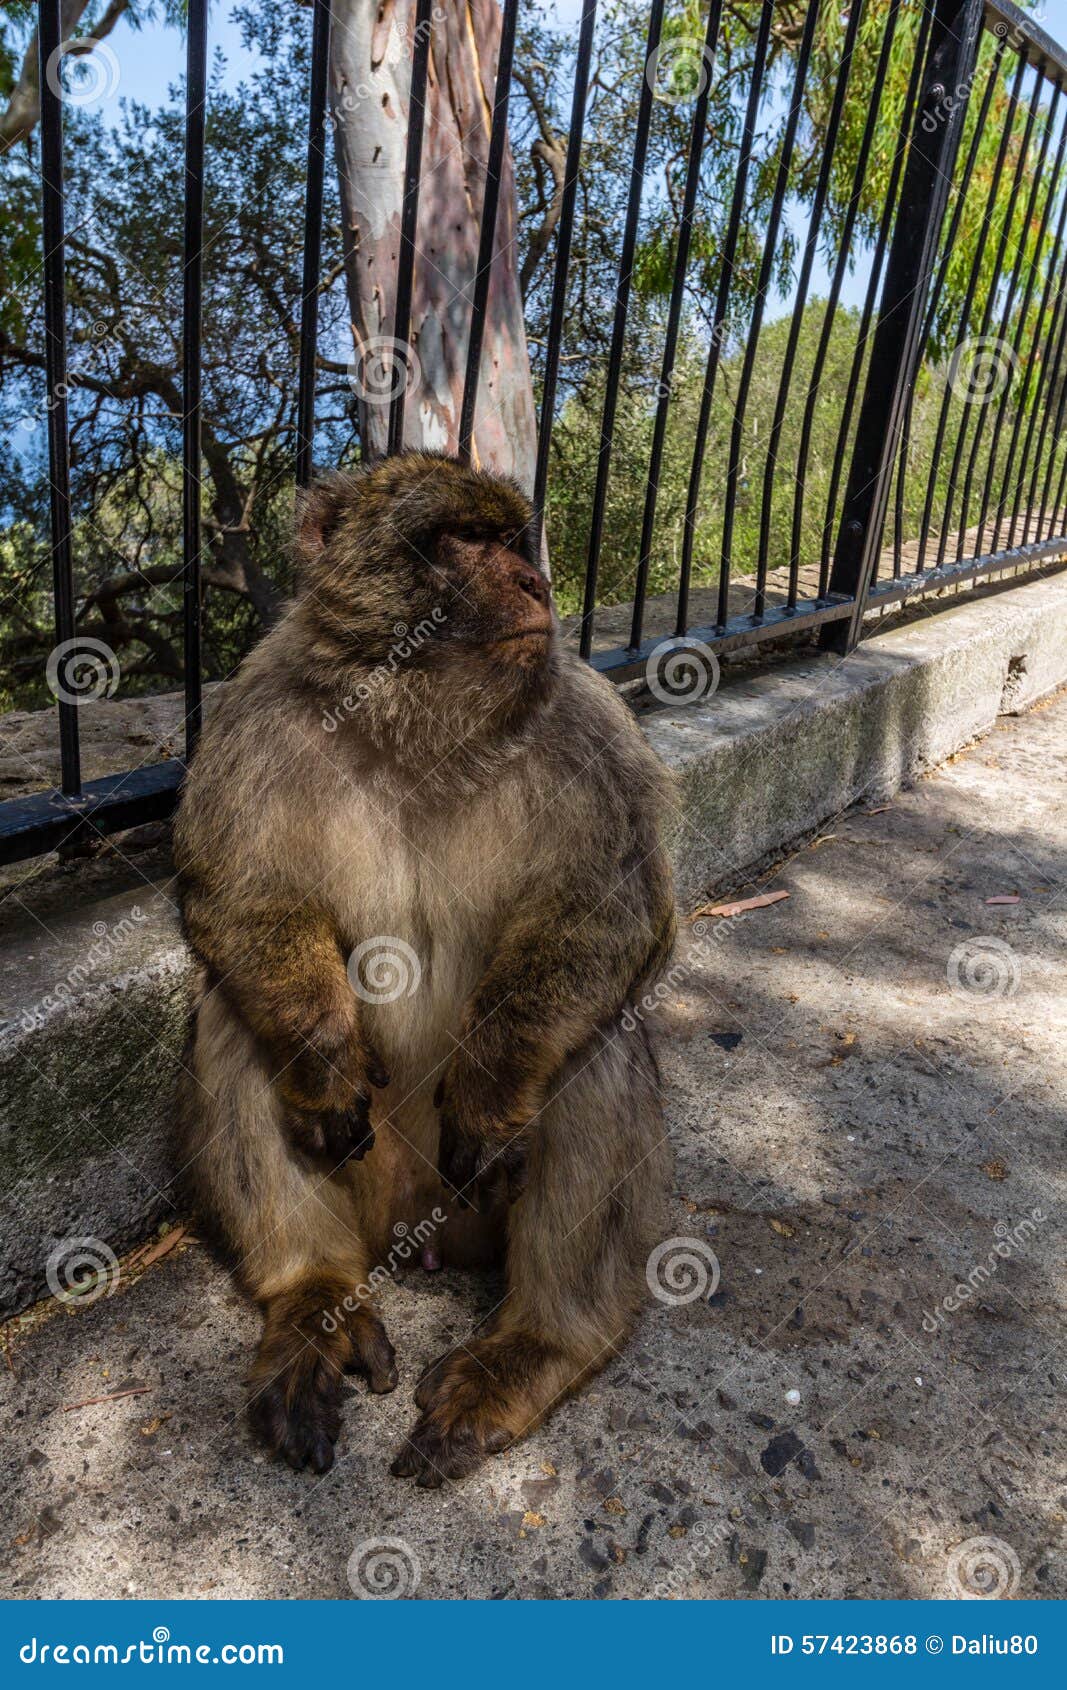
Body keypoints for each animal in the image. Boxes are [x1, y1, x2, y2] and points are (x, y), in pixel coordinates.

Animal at [173, 450, 677, 1485]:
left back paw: (539, 1346)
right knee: (236, 1021)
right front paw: (322, 1052)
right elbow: (235, 896)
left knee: (593, 1051)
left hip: (474, 1201)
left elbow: (614, 911)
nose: (535, 584)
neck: (419, 719)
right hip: (372, 1187)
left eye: (512, 541)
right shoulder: (256, 709)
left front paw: (486, 1083)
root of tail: (418, 1239)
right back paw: (311, 1301)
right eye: (457, 542)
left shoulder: (583, 721)